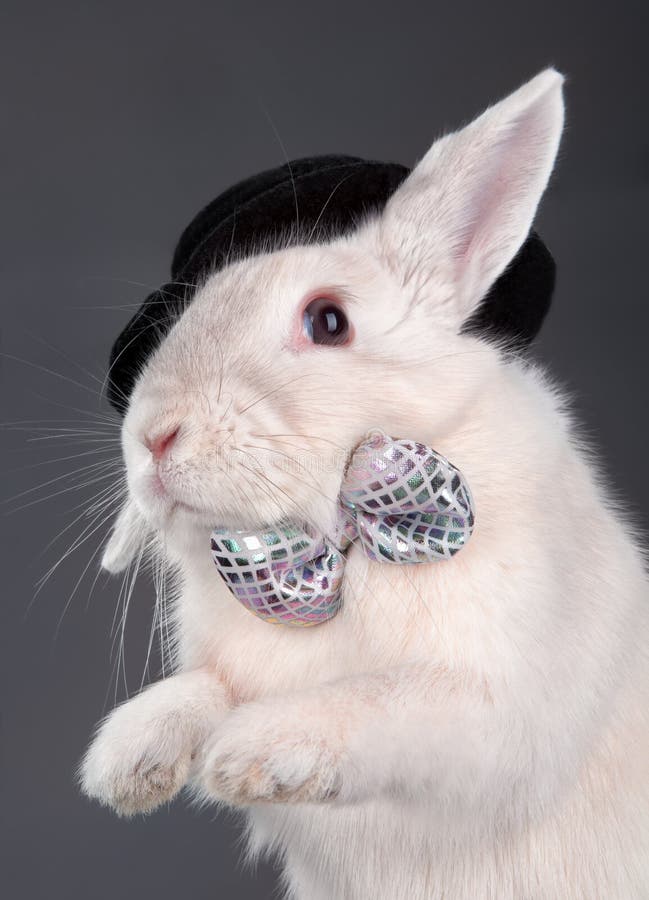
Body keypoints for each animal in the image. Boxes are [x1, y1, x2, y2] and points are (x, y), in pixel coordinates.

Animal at [80, 69, 649, 899]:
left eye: (327, 321)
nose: (151, 436)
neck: (337, 546)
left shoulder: (492, 711)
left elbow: (387, 701)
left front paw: (253, 752)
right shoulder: (233, 666)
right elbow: (203, 688)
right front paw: (126, 760)